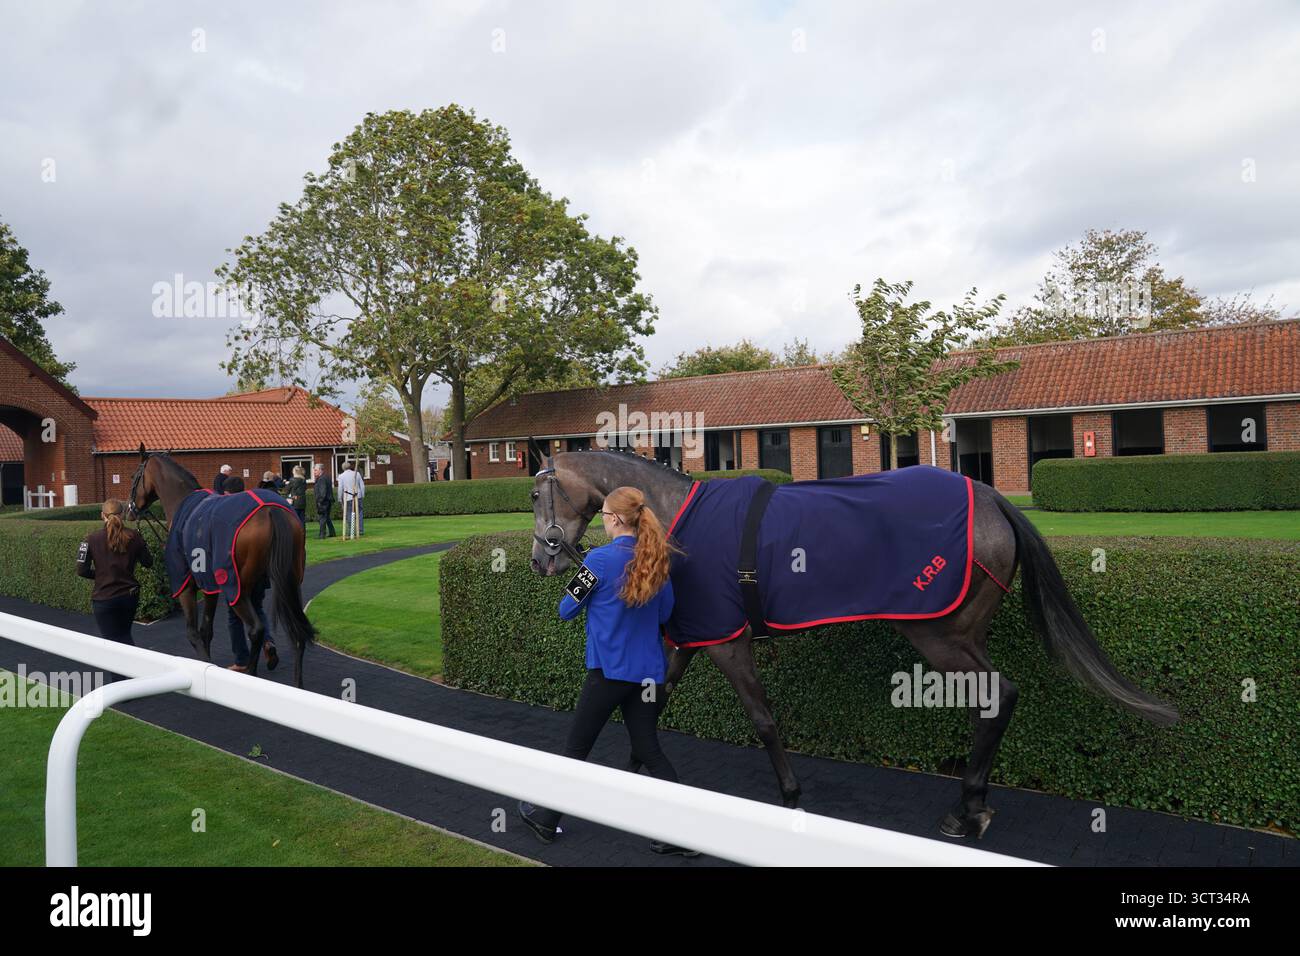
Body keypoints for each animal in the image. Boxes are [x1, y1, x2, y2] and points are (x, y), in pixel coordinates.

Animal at [127, 444, 316, 688]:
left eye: (134, 476)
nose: (129, 510)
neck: (182, 502)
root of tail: (270, 510)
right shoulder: (209, 585)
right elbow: (206, 630)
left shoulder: (185, 584)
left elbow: (193, 632)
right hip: (291, 581)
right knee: (297, 632)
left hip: (238, 587)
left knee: (256, 629)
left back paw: (250, 673)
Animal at [529, 448, 1178, 839]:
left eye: (536, 496)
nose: (541, 559)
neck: (671, 519)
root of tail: (992, 498)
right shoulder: (692, 636)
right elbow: (651, 699)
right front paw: (634, 775)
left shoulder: (727, 642)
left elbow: (762, 718)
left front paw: (791, 794)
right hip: (963, 632)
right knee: (989, 703)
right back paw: (973, 804)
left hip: (937, 631)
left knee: (1000, 697)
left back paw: (966, 810)